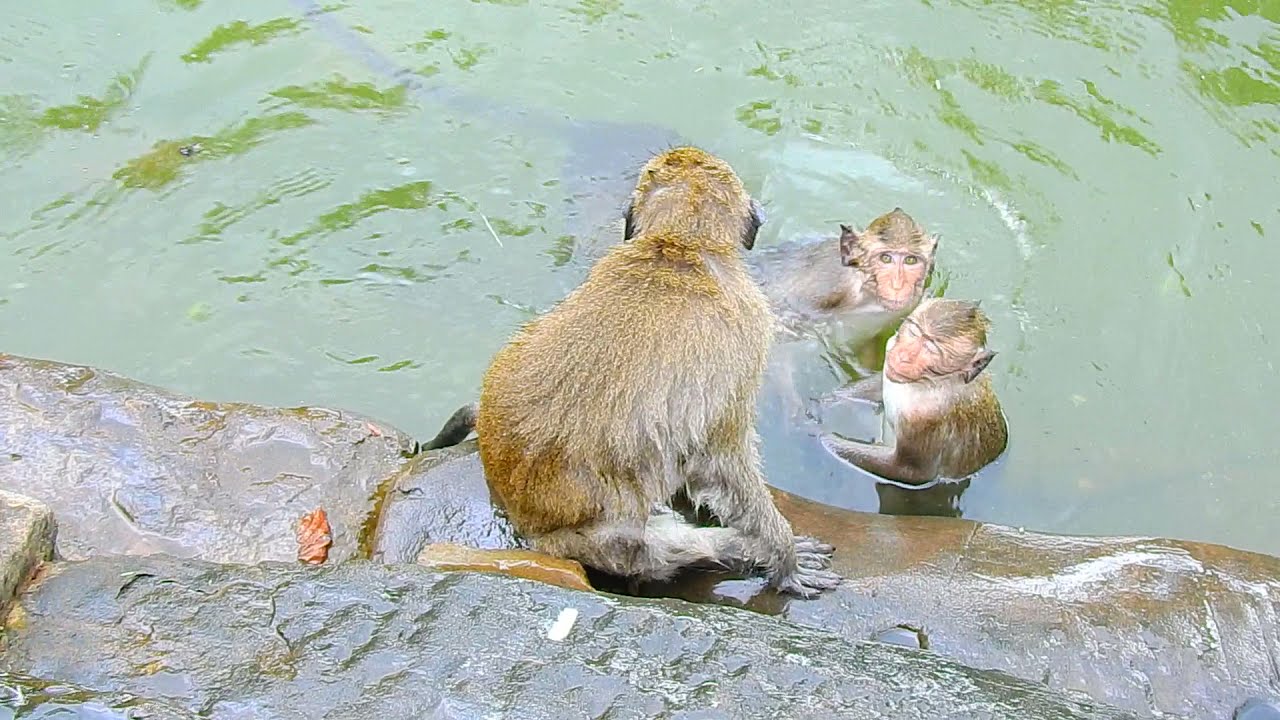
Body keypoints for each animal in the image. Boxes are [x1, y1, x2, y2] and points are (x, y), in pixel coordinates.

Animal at [473, 146, 841, 598]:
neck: (679, 246)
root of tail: (526, 524)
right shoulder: (751, 331)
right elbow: (723, 462)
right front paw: (784, 559)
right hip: (592, 544)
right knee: (644, 545)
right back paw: (735, 547)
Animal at [818, 298, 1007, 486]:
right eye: (914, 331)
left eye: (931, 349)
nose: (903, 356)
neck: (933, 384)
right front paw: (824, 402)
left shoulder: (925, 419)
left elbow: (911, 473)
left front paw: (818, 433)